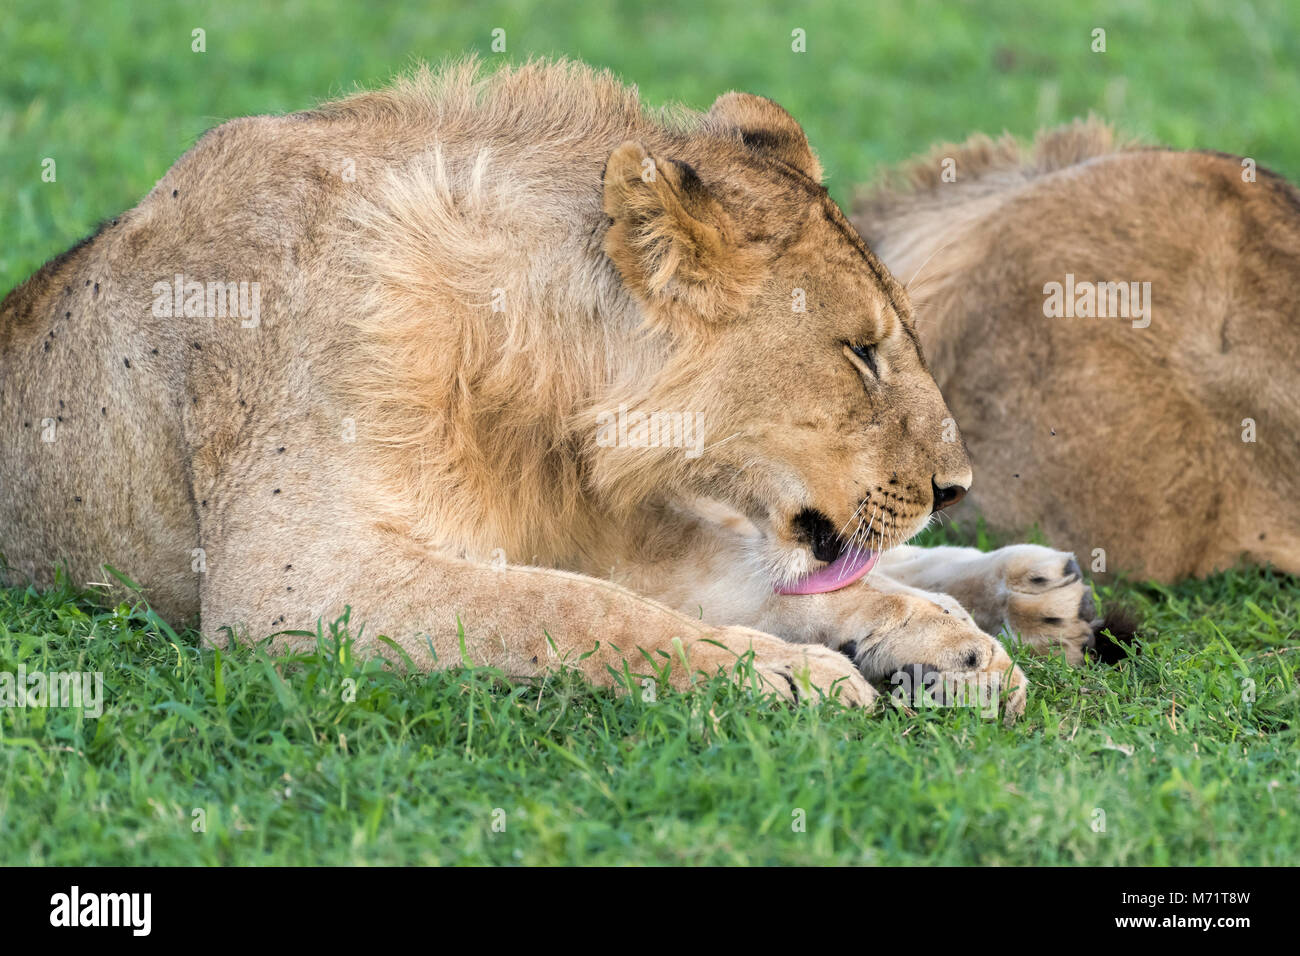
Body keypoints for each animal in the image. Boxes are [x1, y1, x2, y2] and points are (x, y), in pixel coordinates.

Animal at [0, 60, 1109, 722]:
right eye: (860, 352)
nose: (956, 485)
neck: (542, 414)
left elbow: (709, 586)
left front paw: (940, 645)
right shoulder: (286, 585)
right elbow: (570, 607)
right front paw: (791, 673)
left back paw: (1015, 593)